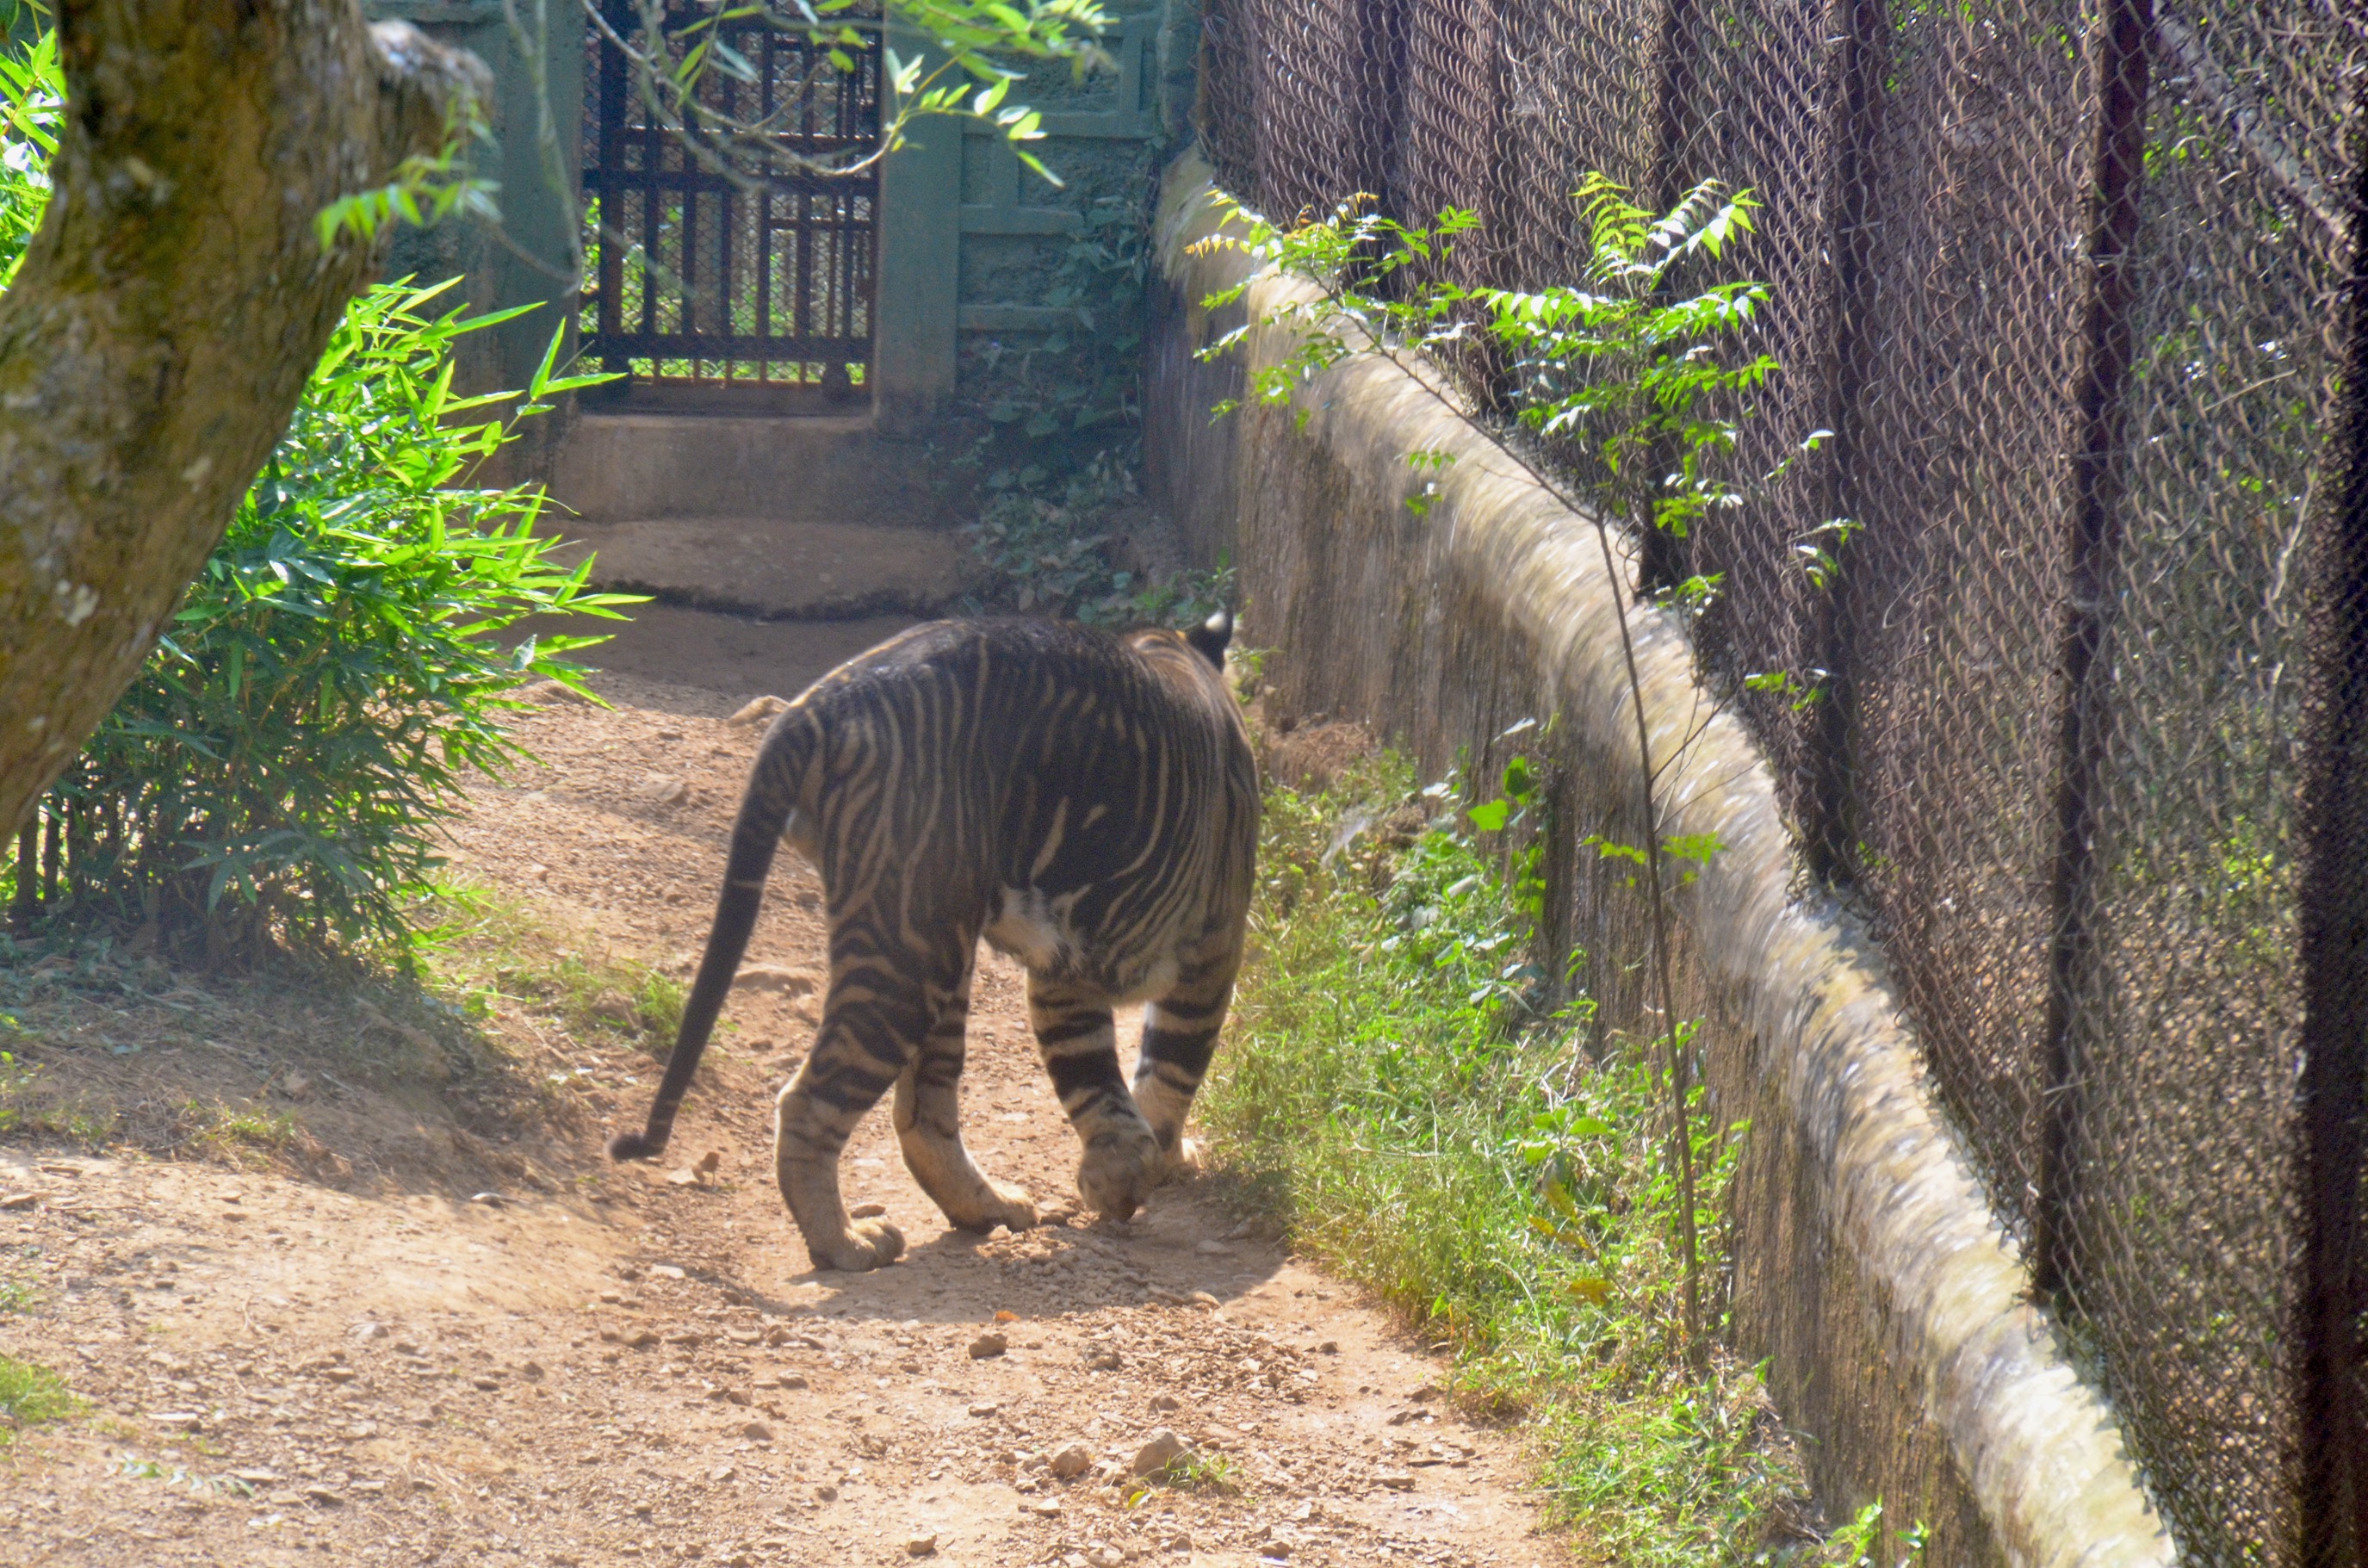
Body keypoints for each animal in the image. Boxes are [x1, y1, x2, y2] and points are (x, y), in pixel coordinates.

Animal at [608, 613, 1260, 1272]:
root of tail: (822, 701)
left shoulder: (1066, 965)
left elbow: (1090, 1071)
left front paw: (1118, 1175)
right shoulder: (1211, 947)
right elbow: (1170, 1069)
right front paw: (1159, 1160)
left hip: (934, 941)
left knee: (925, 1107)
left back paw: (988, 1207)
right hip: (906, 955)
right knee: (810, 1101)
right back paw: (845, 1242)